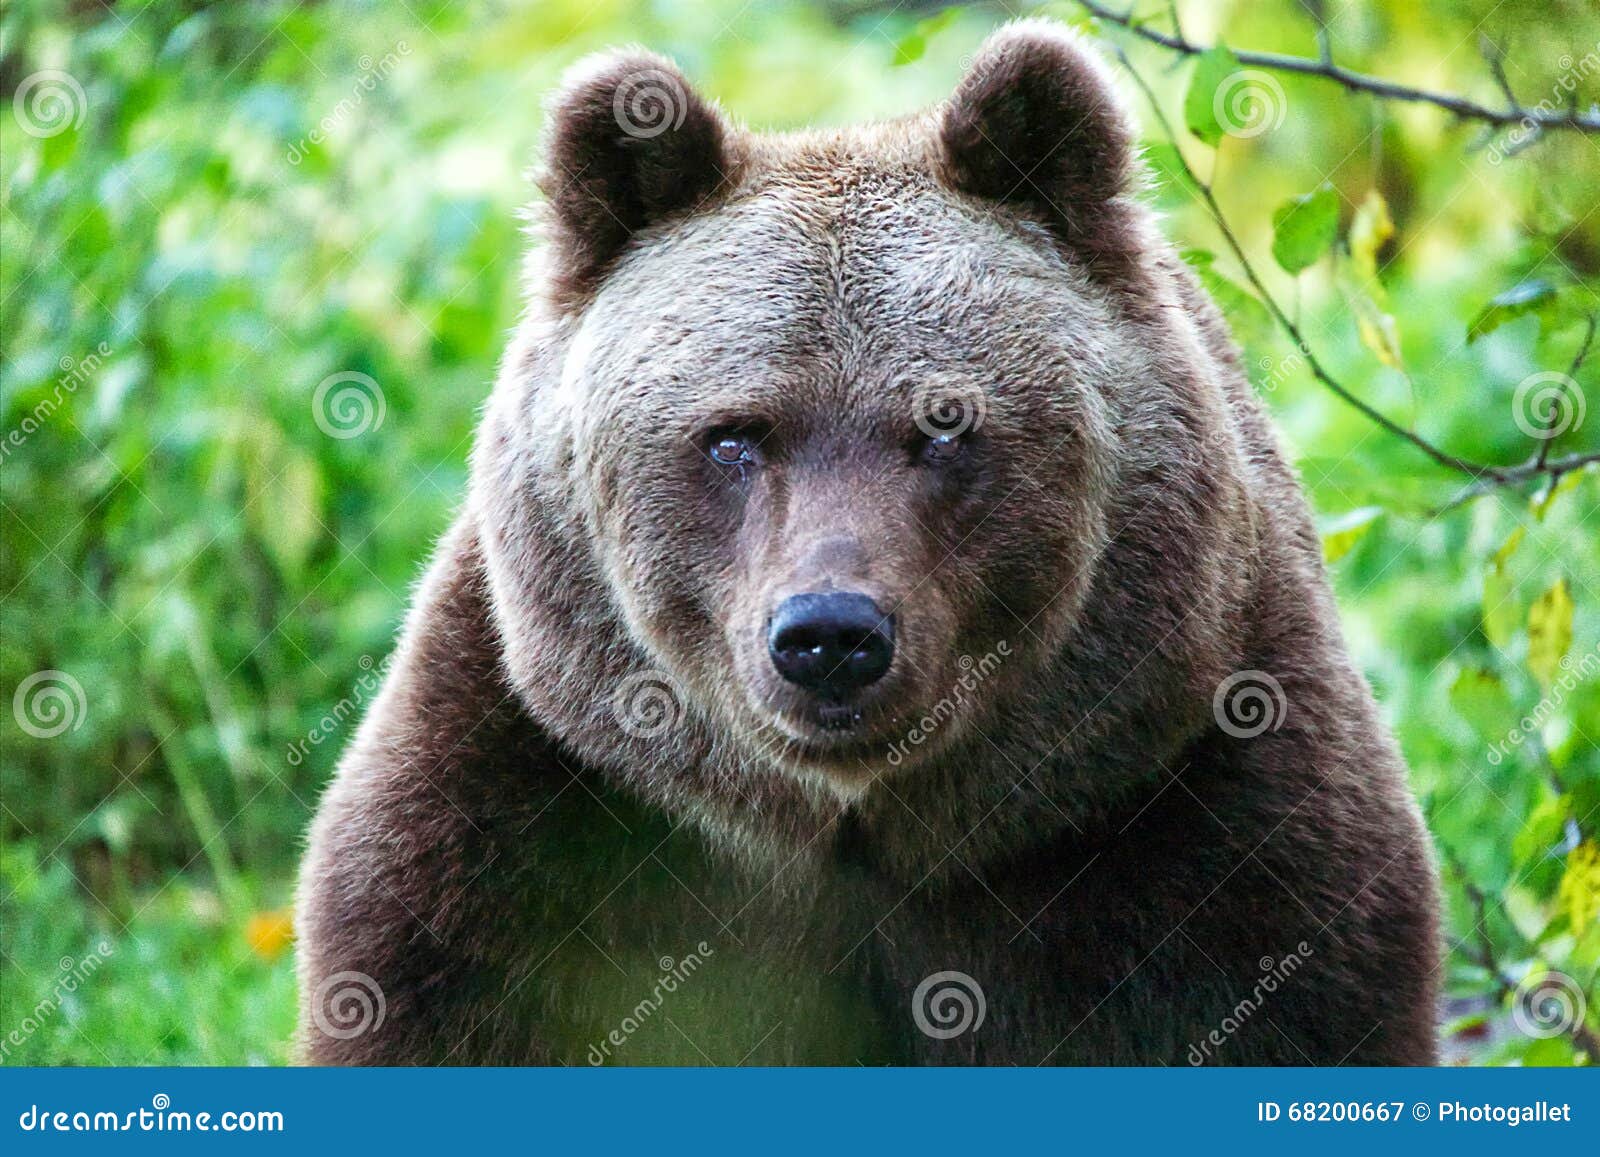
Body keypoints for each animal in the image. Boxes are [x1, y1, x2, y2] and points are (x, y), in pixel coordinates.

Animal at [296, 19, 1440, 1066]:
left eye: (943, 425)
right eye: (734, 435)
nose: (831, 635)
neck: (851, 826)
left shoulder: (1191, 810)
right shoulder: (537, 827)